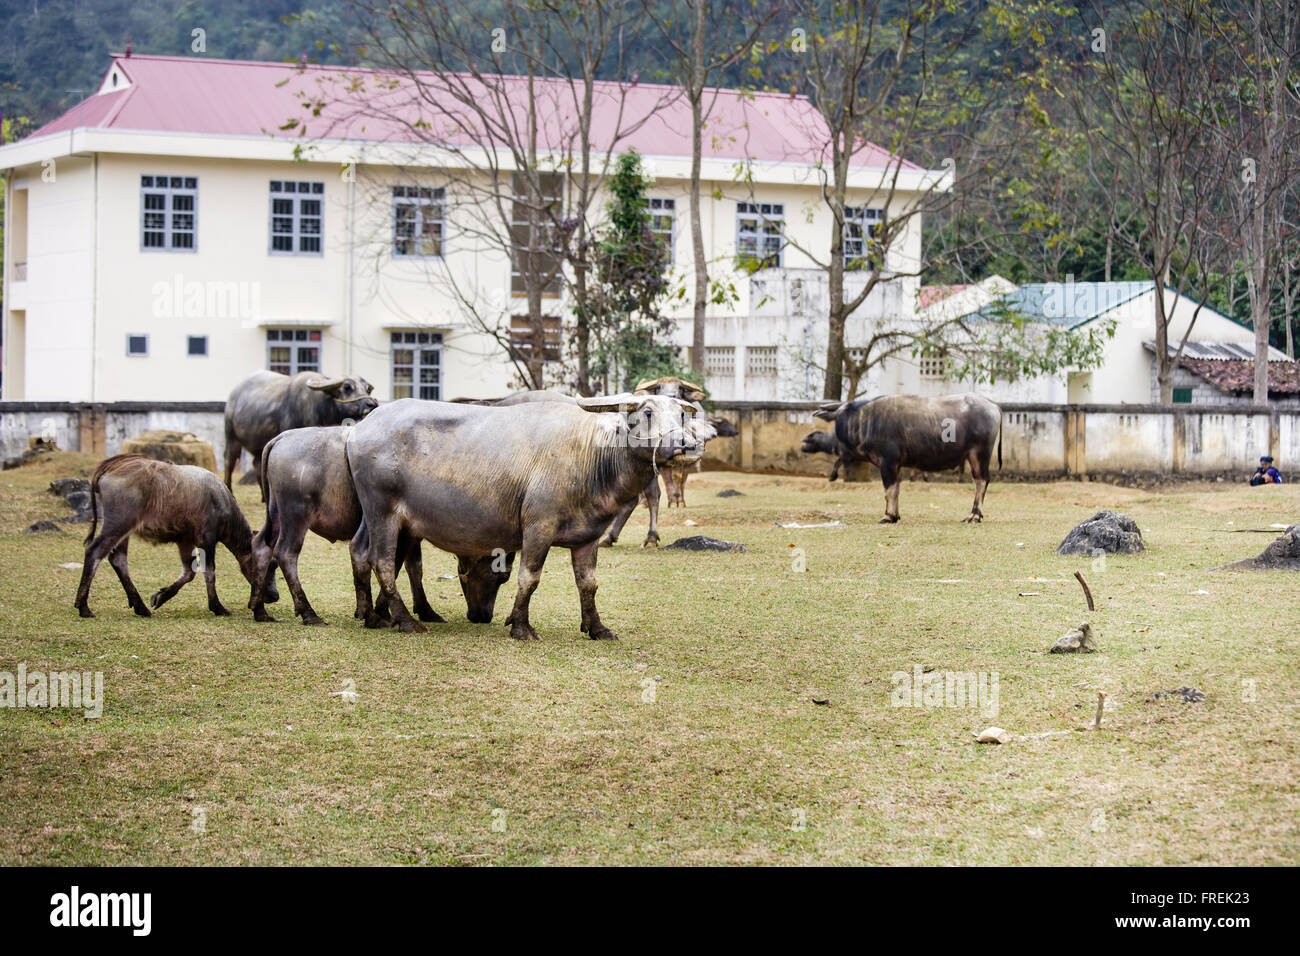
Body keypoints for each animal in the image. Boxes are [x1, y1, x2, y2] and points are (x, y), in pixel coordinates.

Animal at [74, 455, 274, 621]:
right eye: (270, 566)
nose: (274, 596)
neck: (220, 500)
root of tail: (111, 466)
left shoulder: (185, 540)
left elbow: (189, 572)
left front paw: (161, 596)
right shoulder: (207, 540)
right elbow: (209, 572)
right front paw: (217, 606)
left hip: (124, 531)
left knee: (118, 559)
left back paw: (140, 607)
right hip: (117, 524)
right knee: (94, 552)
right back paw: (84, 607)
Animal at [220, 371, 377, 494]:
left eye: (367, 389)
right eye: (347, 387)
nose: (371, 404)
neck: (320, 408)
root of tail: (234, 395)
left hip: (258, 445)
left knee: (257, 464)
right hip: (231, 437)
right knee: (229, 461)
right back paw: (229, 490)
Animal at [250, 426, 514, 629]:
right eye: (502, 576)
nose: (483, 617)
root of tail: (282, 437)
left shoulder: (411, 533)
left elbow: (413, 568)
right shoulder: (406, 531)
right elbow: (396, 565)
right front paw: (387, 611)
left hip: (276, 514)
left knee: (262, 547)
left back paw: (259, 608)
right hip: (295, 516)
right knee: (286, 554)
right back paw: (308, 613)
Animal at [345, 392, 712, 639]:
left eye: (682, 415)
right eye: (647, 411)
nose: (683, 444)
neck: (590, 455)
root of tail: (360, 428)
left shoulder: (588, 537)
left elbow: (589, 584)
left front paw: (596, 627)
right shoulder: (538, 527)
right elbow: (530, 578)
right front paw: (520, 626)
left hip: (383, 518)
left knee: (362, 552)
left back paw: (373, 616)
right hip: (383, 511)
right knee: (384, 562)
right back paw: (406, 621)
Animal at [811, 392, 1003, 522]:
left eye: (842, 414)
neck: (866, 419)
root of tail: (993, 405)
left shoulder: (887, 462)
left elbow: (888, 489)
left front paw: (888, 516)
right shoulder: (896, 465)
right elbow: (896, 489)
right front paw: (895, 515)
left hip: (979, 455)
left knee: (981, 481)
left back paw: (974, 515)